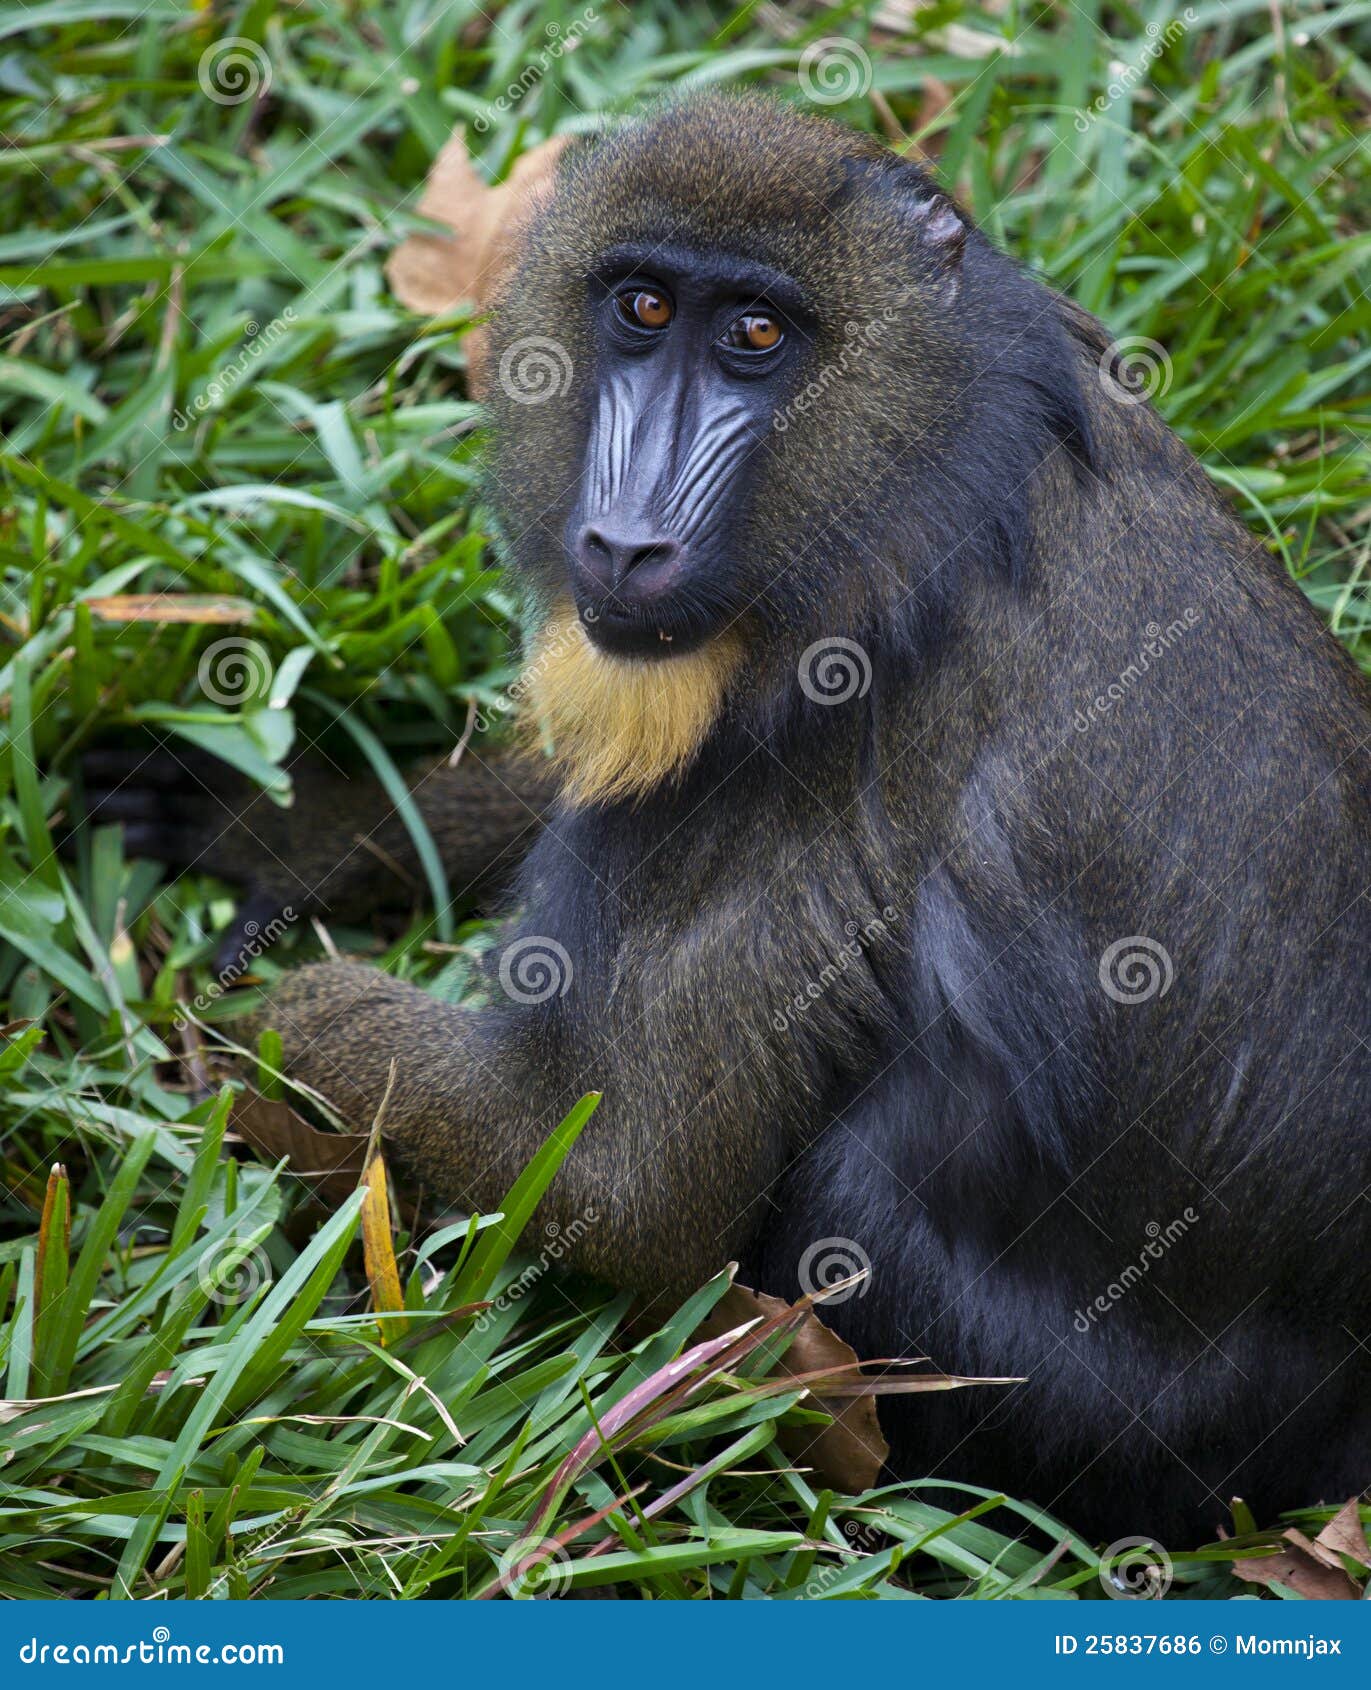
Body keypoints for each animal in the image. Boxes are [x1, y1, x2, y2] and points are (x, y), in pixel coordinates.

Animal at [82, 93, 1371, 1547]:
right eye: (641, 307)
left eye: (756, 335)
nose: (625, 542)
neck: (934, 450)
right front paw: (293, 826)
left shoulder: (821, 738)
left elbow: (616, 1181)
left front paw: (251, 1033)